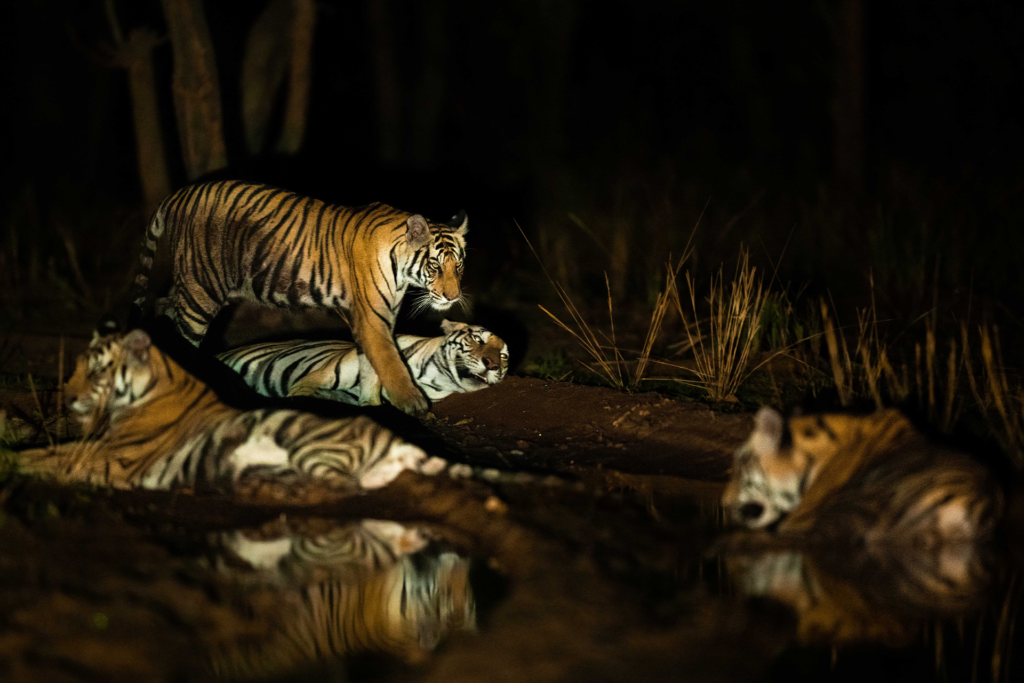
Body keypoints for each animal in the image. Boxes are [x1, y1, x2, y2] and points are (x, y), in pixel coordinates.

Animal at [16, 329, 448, 492]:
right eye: (74, 368)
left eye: (95, 371)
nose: (67, 397)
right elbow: (47, 452)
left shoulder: (115, 458)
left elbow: (53, 460)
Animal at [130, 180, 469, 415]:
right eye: (435, 266)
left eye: (459, 266)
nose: (452, 297)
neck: (401, 271)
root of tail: (181, 193)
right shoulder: (373, 320)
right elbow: (390, 364)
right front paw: (413, 404)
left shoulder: (374, 320)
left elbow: (370, 369)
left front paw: (370, 405)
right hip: (201, 291)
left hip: (193, 287)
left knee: (162, 306)